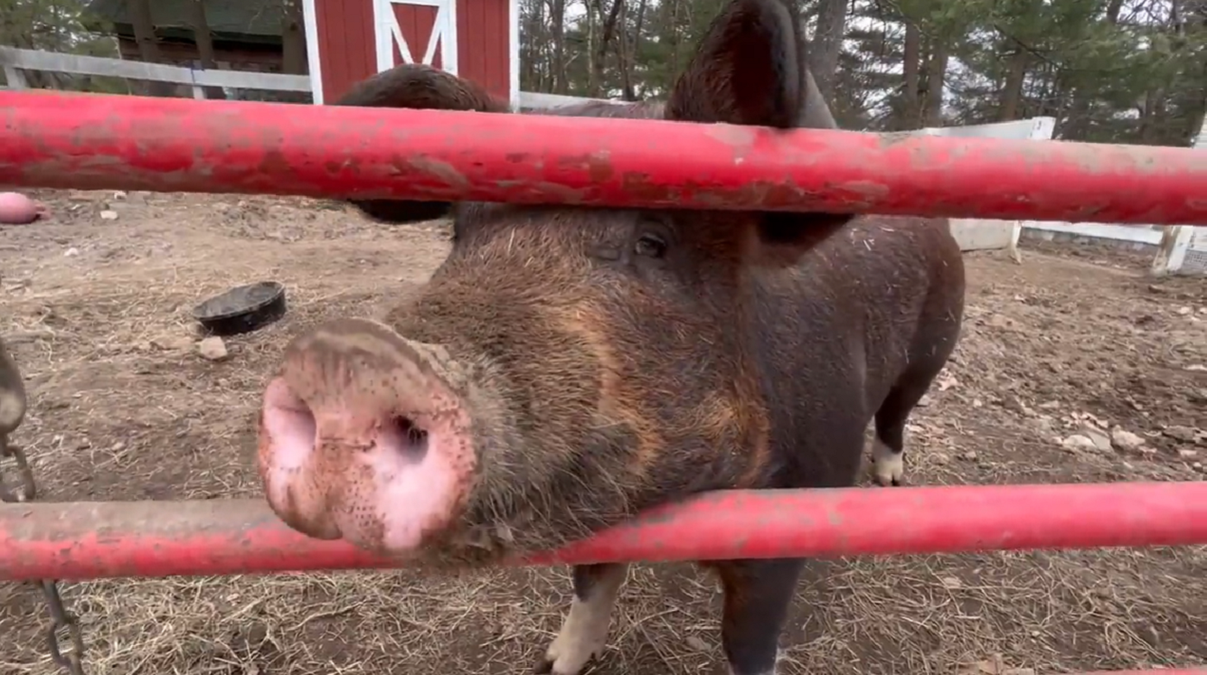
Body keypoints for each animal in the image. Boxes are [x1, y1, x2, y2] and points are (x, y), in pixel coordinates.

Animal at [256, 0, 966, 671]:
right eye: (459, 234)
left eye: (653, 241)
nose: (348, 358)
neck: (677, 502)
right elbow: (591, 586)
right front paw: (552, 664)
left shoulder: (786, 524)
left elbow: (749, 642)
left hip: (935, 344)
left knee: (897, 414)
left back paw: (889, 483)